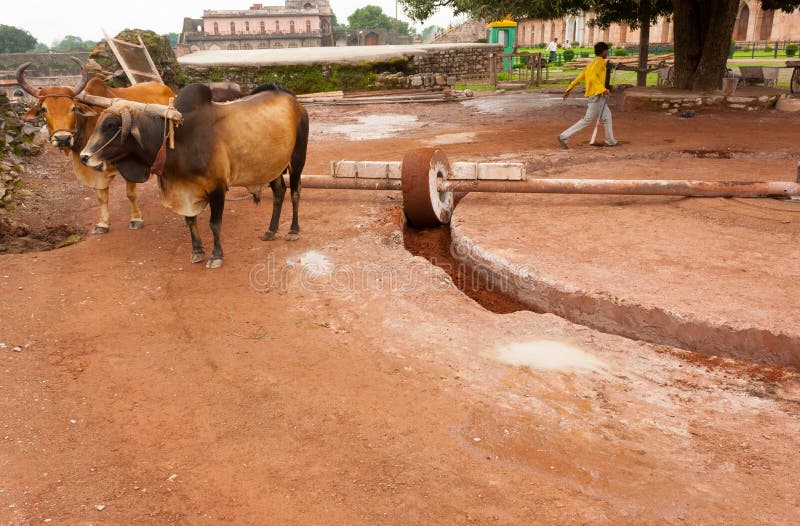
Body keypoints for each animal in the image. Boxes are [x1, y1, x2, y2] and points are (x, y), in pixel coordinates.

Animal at [16, 58, 175, 234]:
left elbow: (130, 194)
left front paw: (136, 219)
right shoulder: (93, 168)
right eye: (44, 109)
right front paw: (103, 223)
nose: (63, 138)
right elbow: (101, 197)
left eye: (73, 108)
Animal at [79, 83, 309, 269]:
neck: (176, 142)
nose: (84, 156)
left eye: (111, 127)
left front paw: (216, 256)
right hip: (273, 167)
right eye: (98, 124)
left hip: (297, 159)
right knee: (279, 192)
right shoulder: (185, 191)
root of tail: (293, 100)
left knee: (295, 192)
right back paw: (271, 231)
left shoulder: (218, 188)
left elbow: (214, 224)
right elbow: (190, 220)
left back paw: (293, 231)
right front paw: (197, 251)